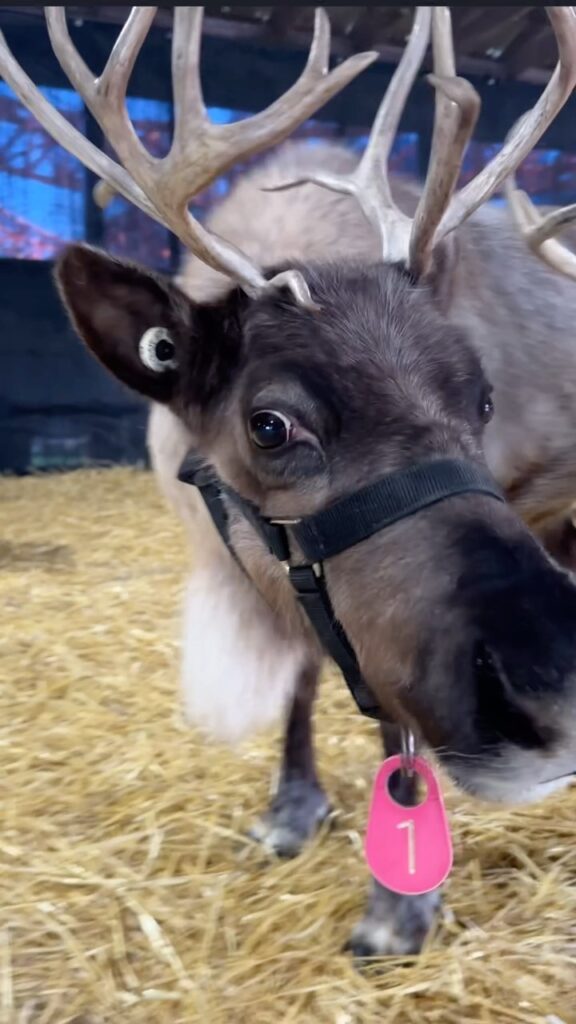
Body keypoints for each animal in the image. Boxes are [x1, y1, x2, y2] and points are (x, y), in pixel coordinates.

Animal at [4, 5, 576, 958]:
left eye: (484, 396)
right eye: (271, 423)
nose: (554, 695)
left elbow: (394, 726)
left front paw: (398, 908)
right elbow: (305, 682)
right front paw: (292, 809)